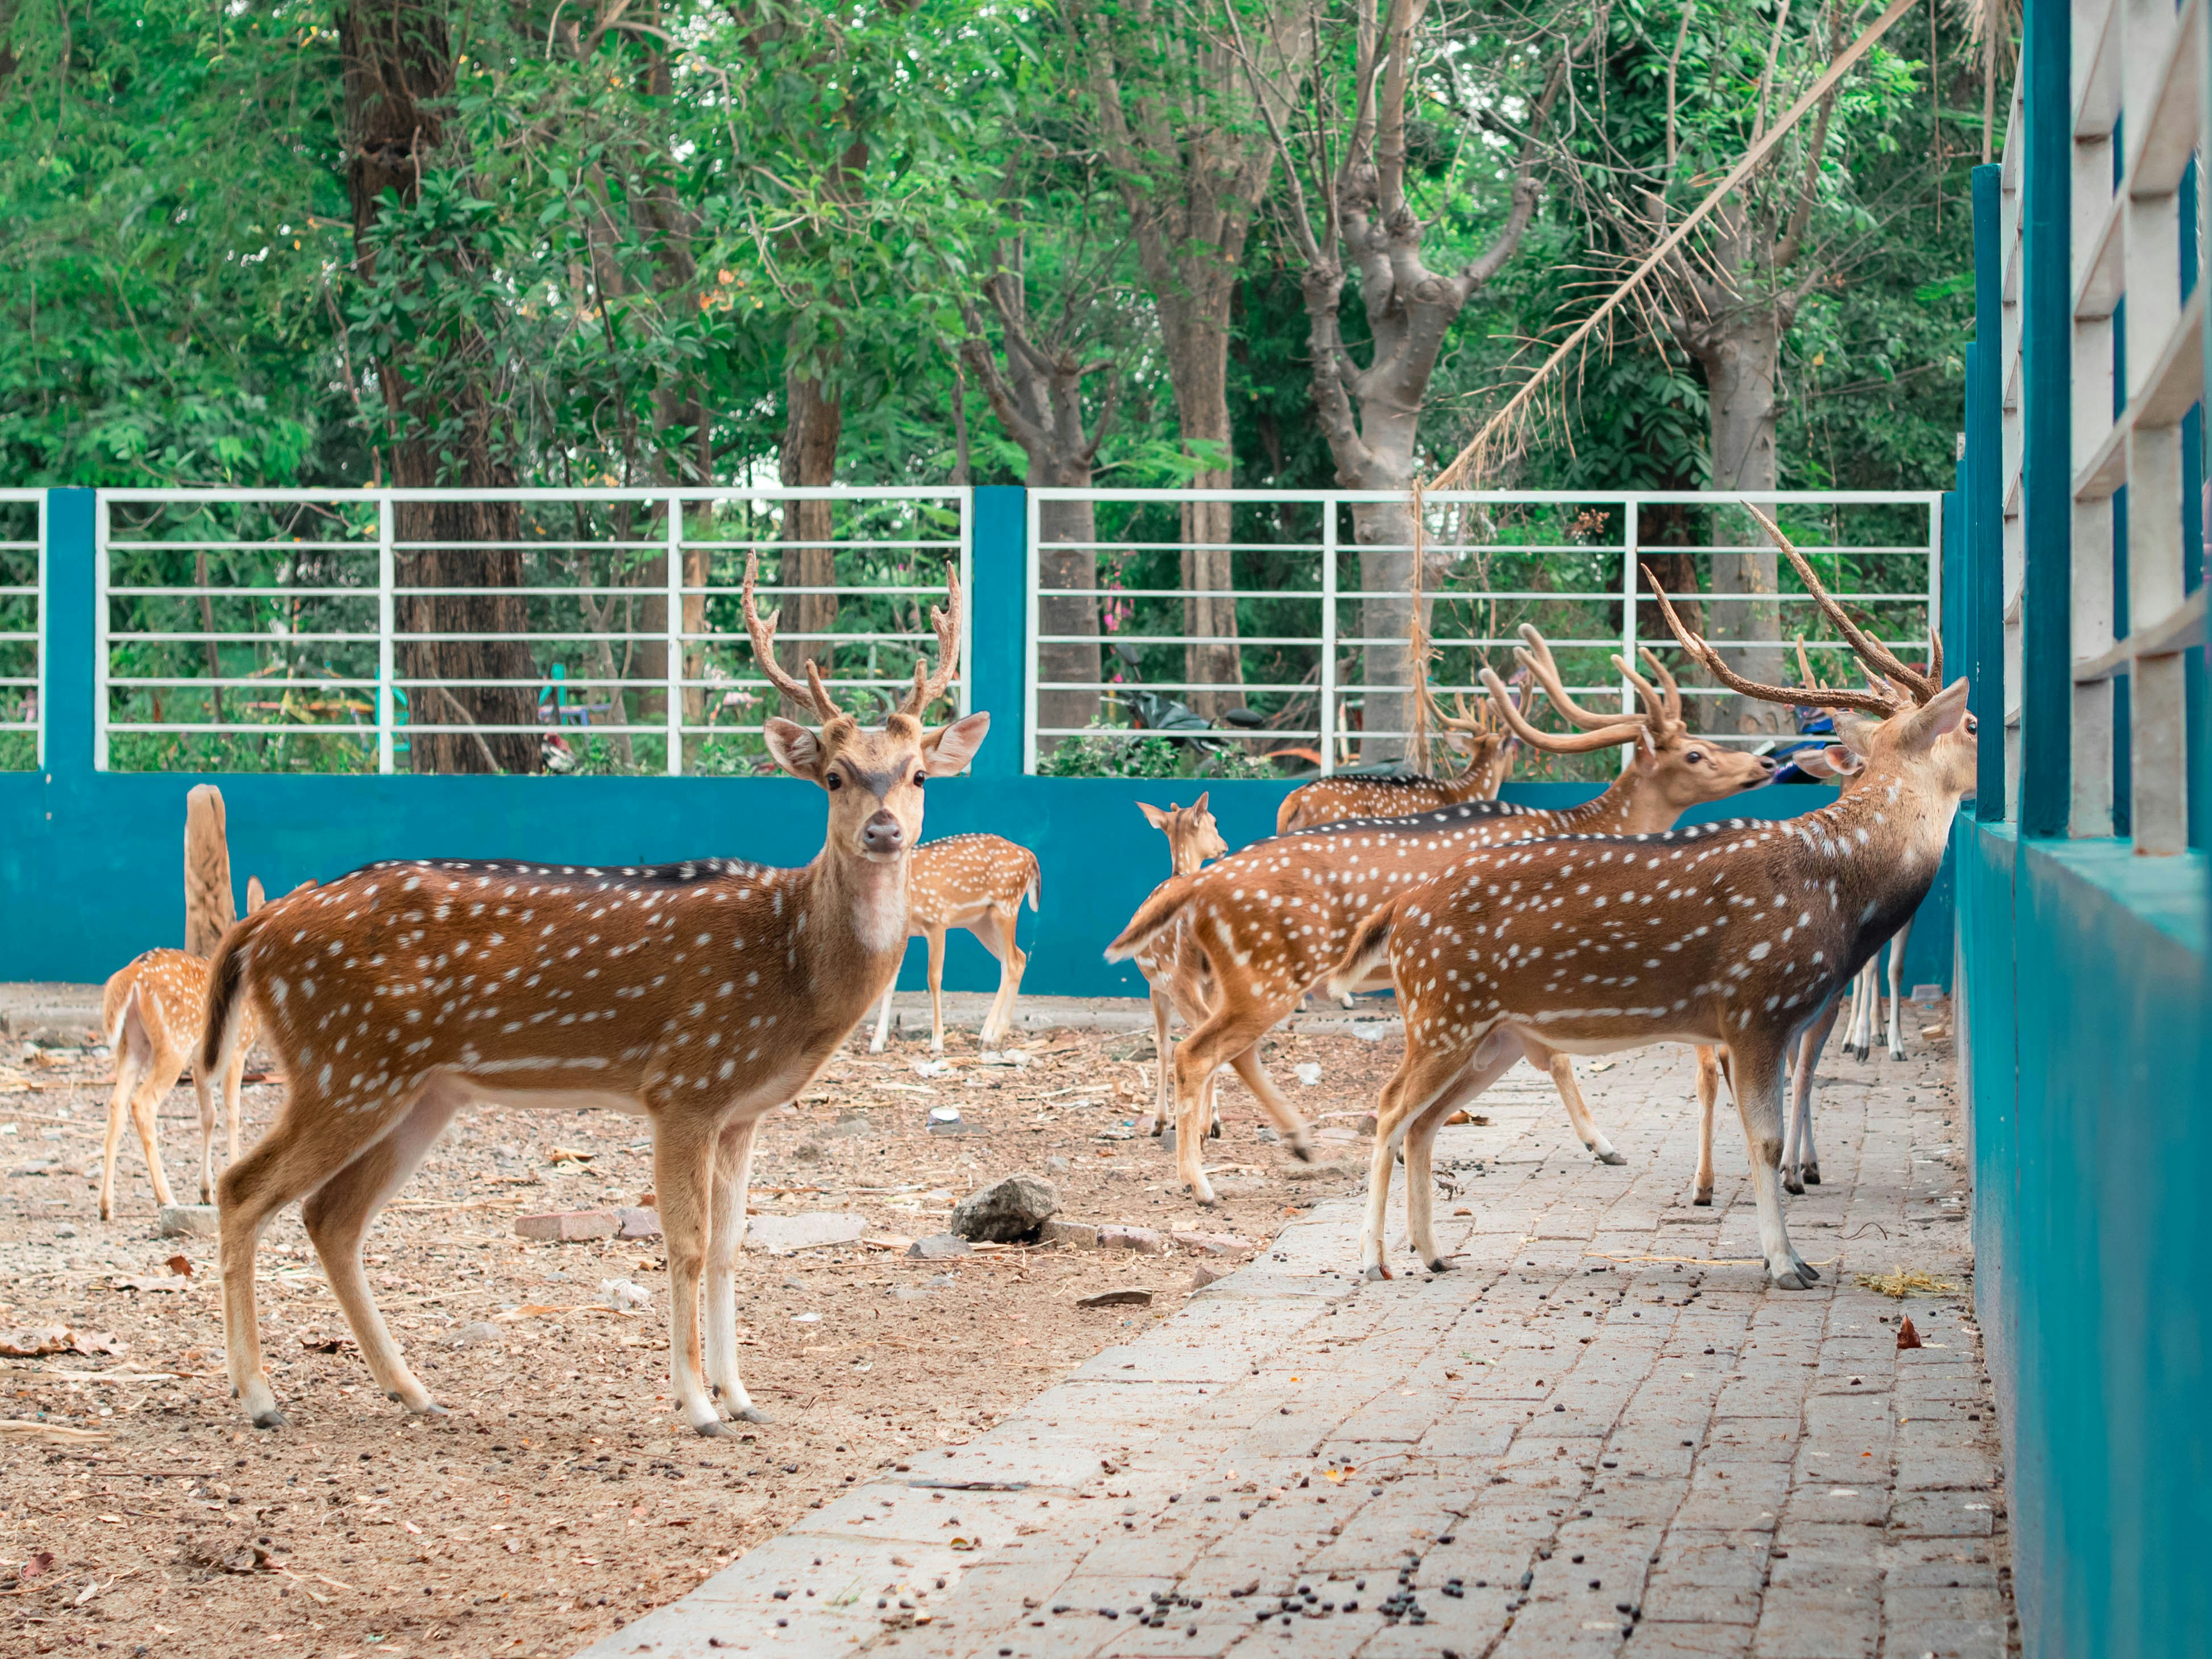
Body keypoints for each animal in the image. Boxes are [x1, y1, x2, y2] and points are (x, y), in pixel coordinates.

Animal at [98, 879, 271, 1221]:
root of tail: (132, 974)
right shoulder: (236, 1050)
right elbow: (232, 1113)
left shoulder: (201, 1061)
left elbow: (208, 1116)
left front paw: (206, 1192)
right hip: (173, 1043)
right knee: (143, 1103)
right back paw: (166, 1197)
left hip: (132, 1043)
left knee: (116, 1104)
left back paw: (107, 1206)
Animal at [198, 552, 987, 1434]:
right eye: (833, 776)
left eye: (919, 774)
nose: (885, 829)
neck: (792, 969)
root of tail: (261, 925)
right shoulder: (684, 1084)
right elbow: (685, 1242)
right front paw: (696, 1405)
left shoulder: (742, 1109)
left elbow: (730, 1245)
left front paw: (744, 1398)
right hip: (344, 1062)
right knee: (242, 1189)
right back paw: (259, 1395)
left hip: (417, 1088)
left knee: (331, 1215)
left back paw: (413, 1389)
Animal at [866, 833, 1040, 1053]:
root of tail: (1029, 855)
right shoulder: (903, 933)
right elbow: (889, 983)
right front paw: (877, 1043)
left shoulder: (937, 920)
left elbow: (934, 978)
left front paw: (937, 1041)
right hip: (981, 923)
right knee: (1020, 958)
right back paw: (999, 1034)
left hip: (1006, 906)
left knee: (1011, 963)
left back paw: (987, 1035)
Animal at [1327, 502, 1975, 1286]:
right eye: (1972, 724)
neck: (1840, 891)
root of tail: (1398, 914)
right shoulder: (1754, 1006)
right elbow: (1761, 1140)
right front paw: (1785, 1262)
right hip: (1442, 1013)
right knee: (1389, 1107)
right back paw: (1372, 1260)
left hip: (1494, 1034)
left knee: (1423, 1120)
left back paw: (1433, 1252)